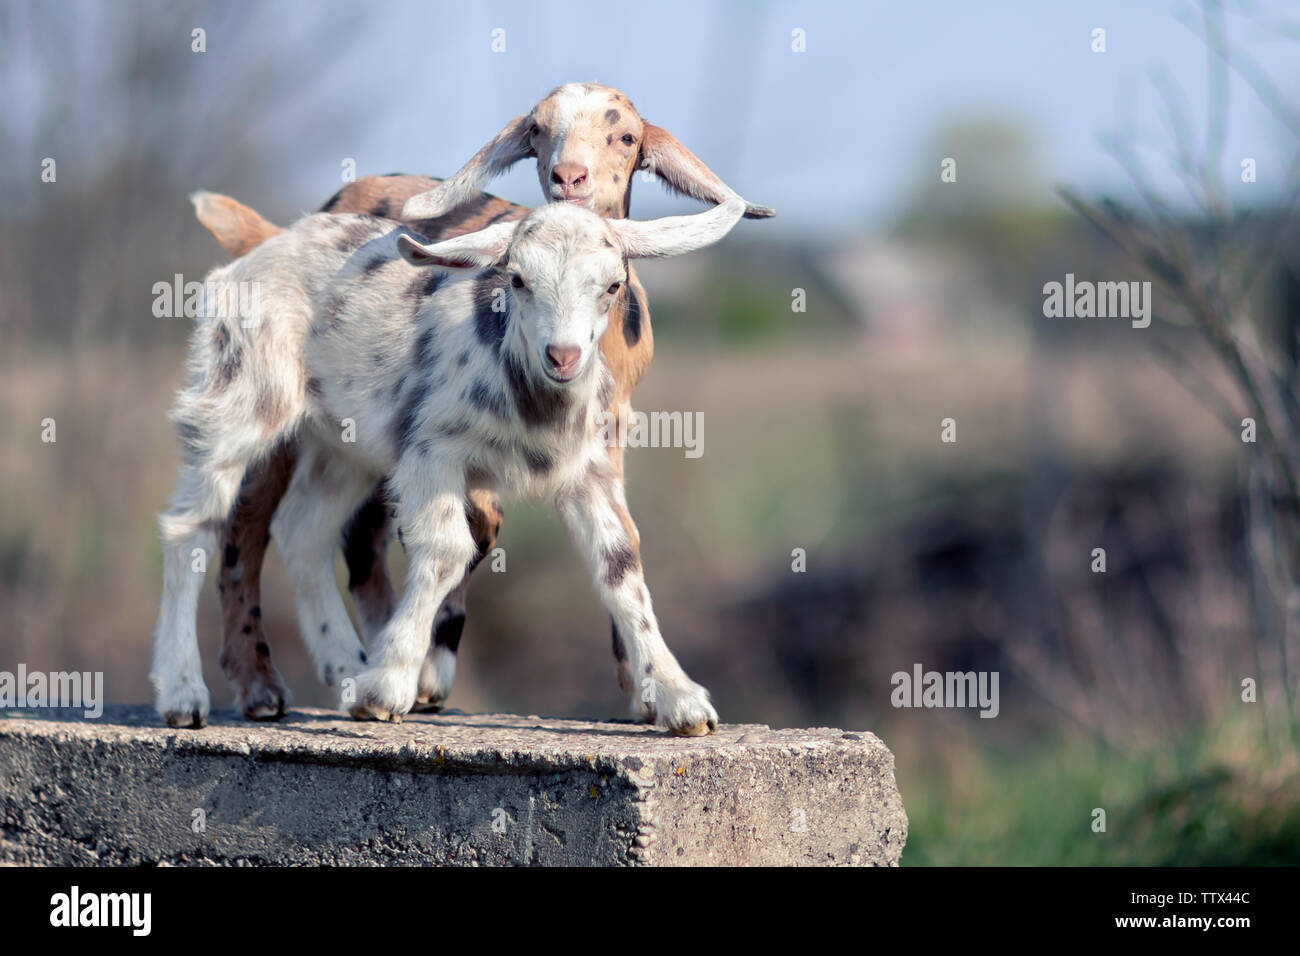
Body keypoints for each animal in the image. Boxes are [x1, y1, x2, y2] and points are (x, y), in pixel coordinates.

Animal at [196, 83, 773, 721]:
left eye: (626, 136)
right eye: (536, 131)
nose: (570, 176)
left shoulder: (603, 446)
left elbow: (620, 553)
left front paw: (655, 689)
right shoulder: (441, 444)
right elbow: (466, 533)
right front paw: (412, 668)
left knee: (332, 532)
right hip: (281, 410)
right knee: (247, 526)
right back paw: (260, 681)